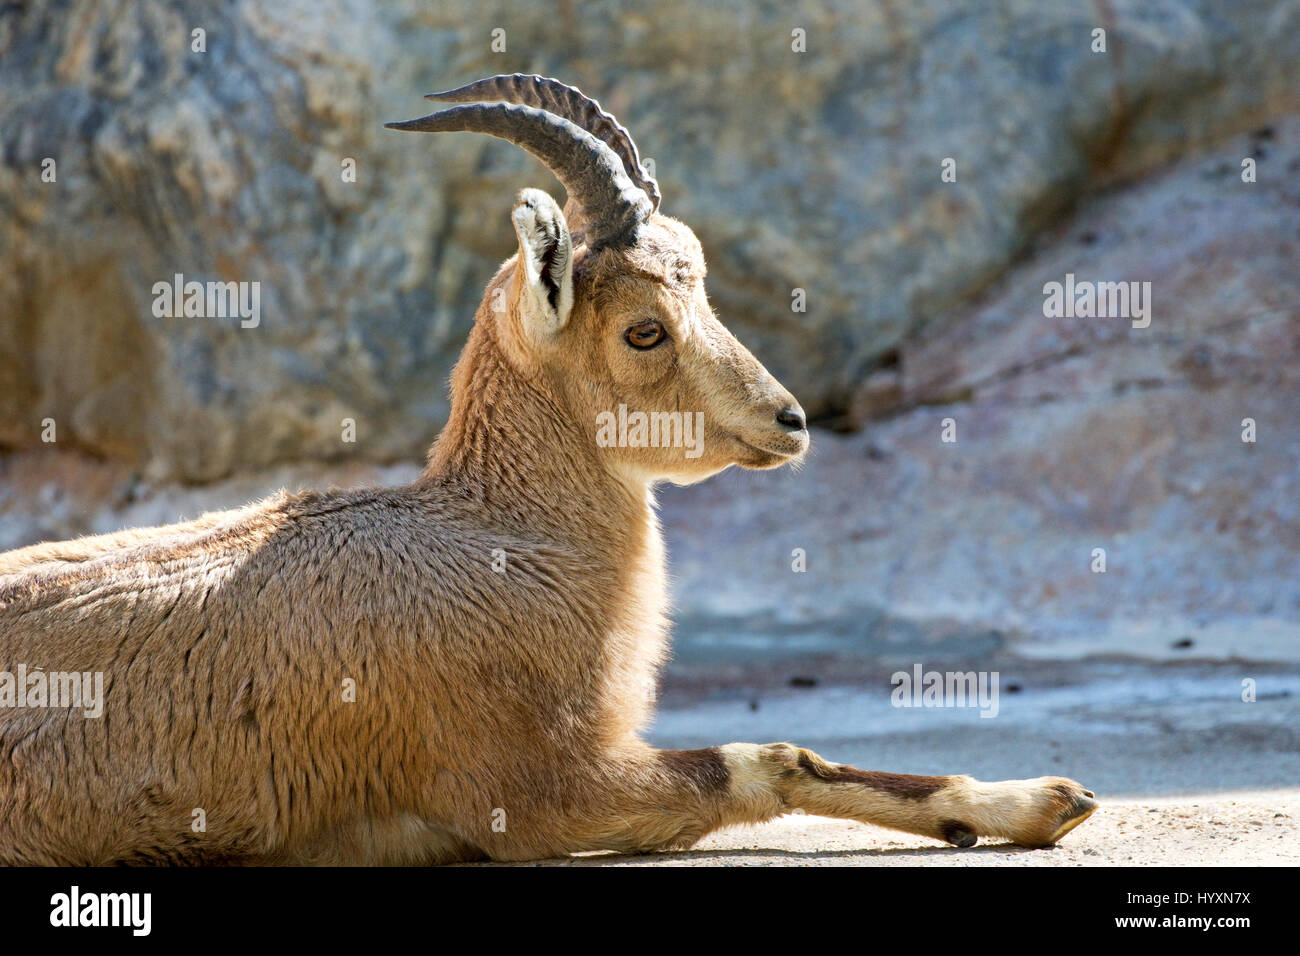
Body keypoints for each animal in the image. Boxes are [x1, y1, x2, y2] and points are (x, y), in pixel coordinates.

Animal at [0, 75, 1095, 864]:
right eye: (644, 327)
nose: (787, 420)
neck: (495, 538)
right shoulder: (535, 795)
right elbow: (772, 759)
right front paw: (1041, 801)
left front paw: (1046, 796)